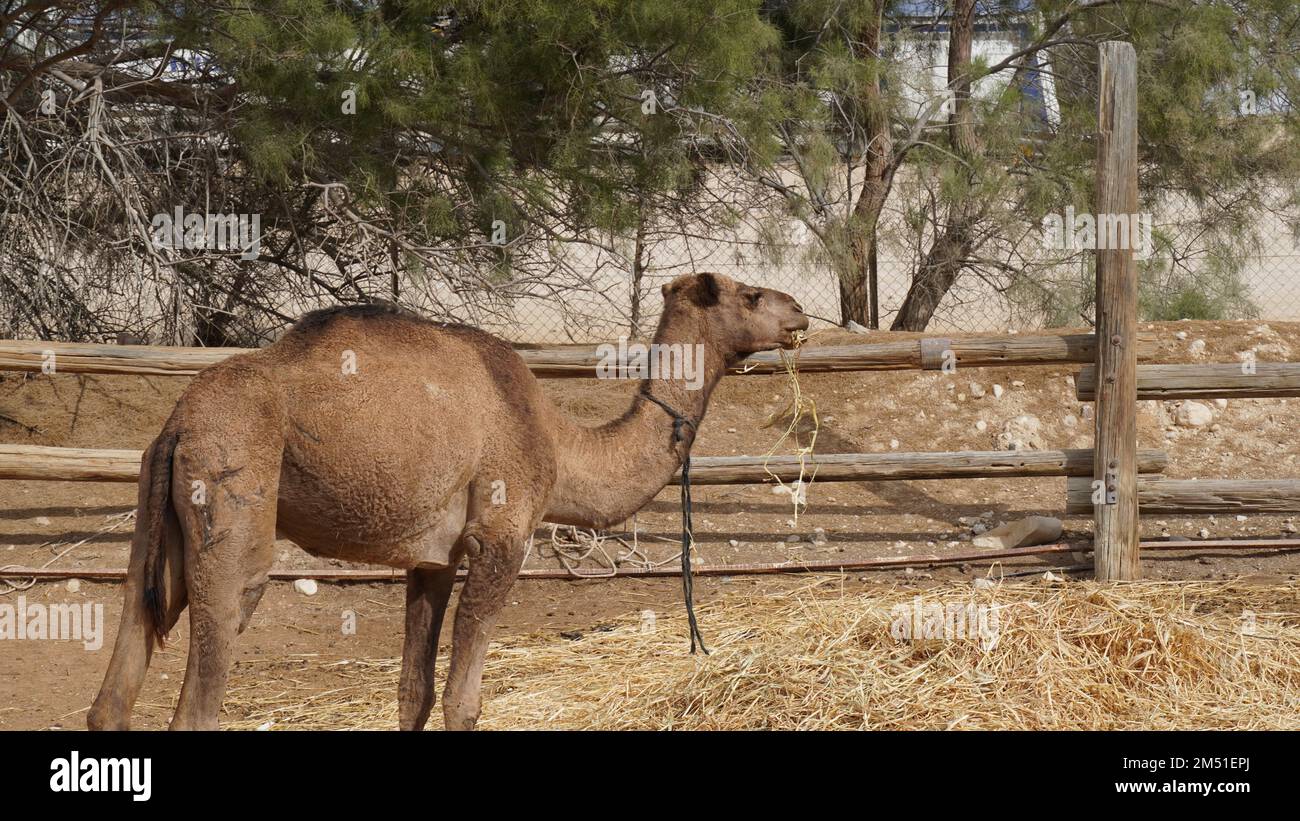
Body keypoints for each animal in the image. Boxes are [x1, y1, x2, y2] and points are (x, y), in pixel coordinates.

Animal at [87, 272, 808, 730]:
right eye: (750, 294)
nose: (799, 312)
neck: (555, 440)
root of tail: (177, 423)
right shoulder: (502, 535)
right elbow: (465, 701)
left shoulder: (431, 559)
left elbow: (415, 692)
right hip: (232, 500)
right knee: (202, 692)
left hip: (161, 519)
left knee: (115, 686)